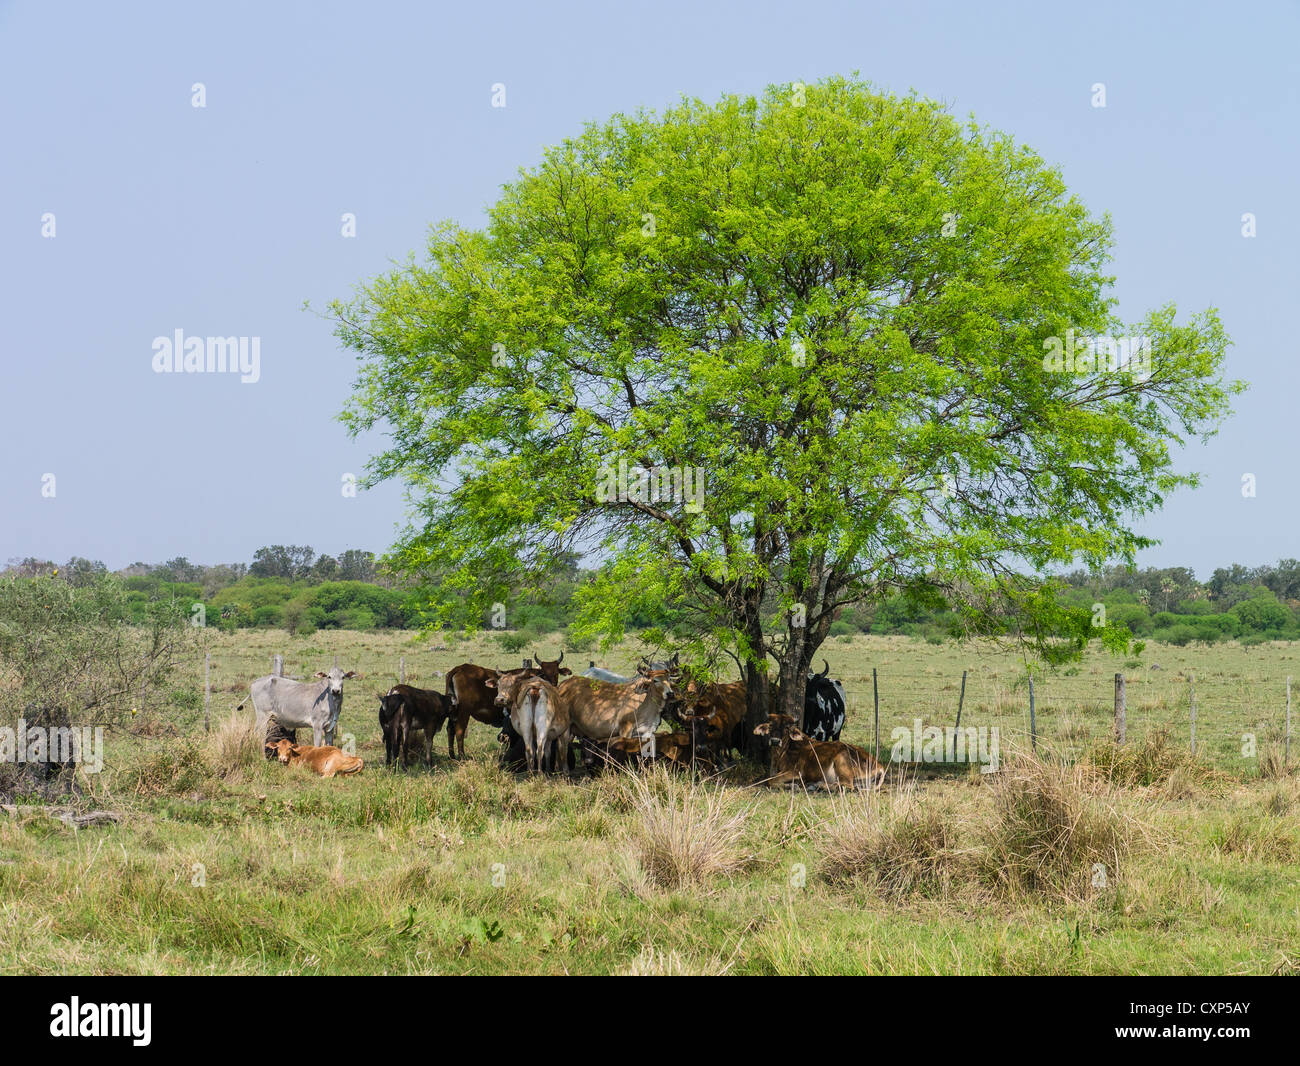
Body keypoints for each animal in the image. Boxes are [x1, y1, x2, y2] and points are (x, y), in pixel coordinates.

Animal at [752, 715, 883, 791]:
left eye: (786, 728)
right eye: (770, 726)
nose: (775, 741)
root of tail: (879, 765)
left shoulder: (796, 772)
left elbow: (770, 780)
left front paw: (793, 786)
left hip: (841, 760)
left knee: (845, 785)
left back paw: (817, 785)